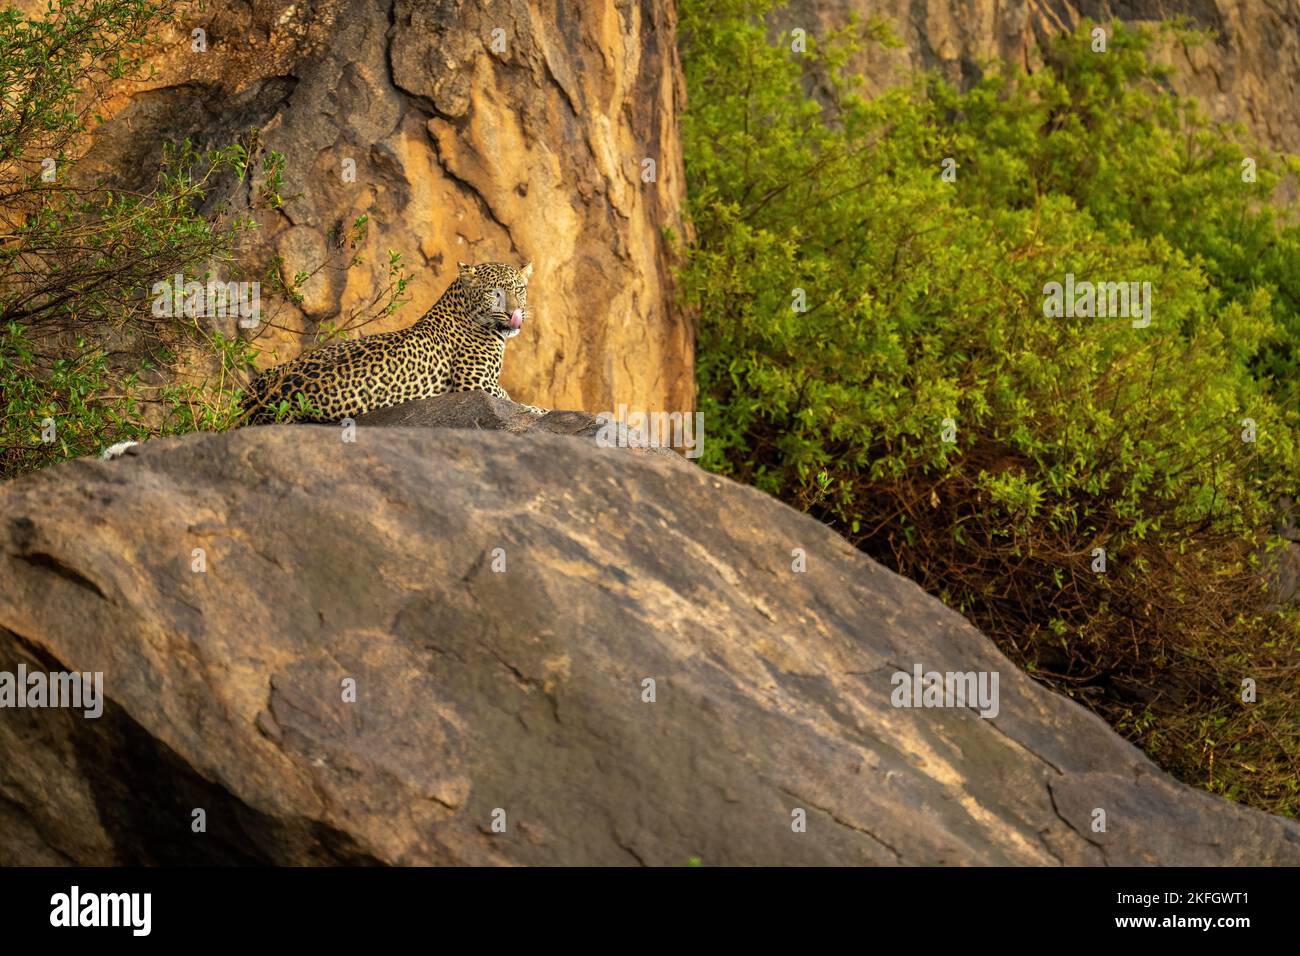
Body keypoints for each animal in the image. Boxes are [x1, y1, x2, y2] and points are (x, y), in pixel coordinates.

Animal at [240, 261, 547, 424]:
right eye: (494, 293)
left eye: (520, 289)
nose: (515, 312)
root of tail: (253, 401)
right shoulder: (476, 383)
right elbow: (515, 402)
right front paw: (539, 409)